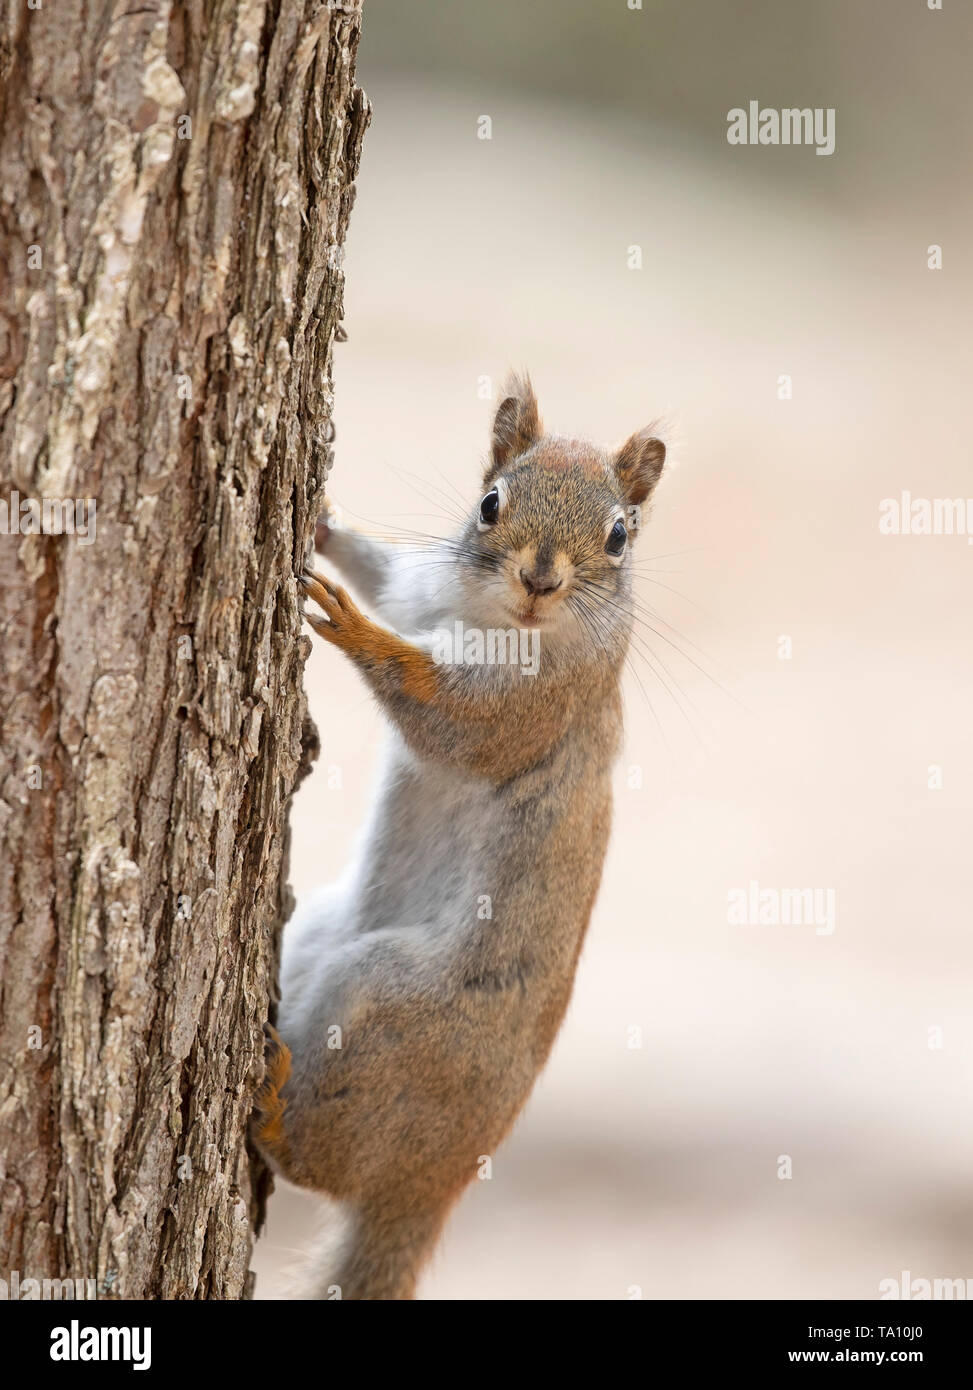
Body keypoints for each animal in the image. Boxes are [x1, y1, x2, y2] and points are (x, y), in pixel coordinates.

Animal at [254, 374, 667, 1299]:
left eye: (618, 536)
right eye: (489, 503)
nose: (540, 579)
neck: (502, 622)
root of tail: (431, 1189)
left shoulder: (534, 710)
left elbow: (444, 717)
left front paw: (356, 632)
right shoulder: (425, 589)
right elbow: (386, 577)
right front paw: (324, 523)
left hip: (385, 1011)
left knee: (317, 1164)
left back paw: (272, 1116)